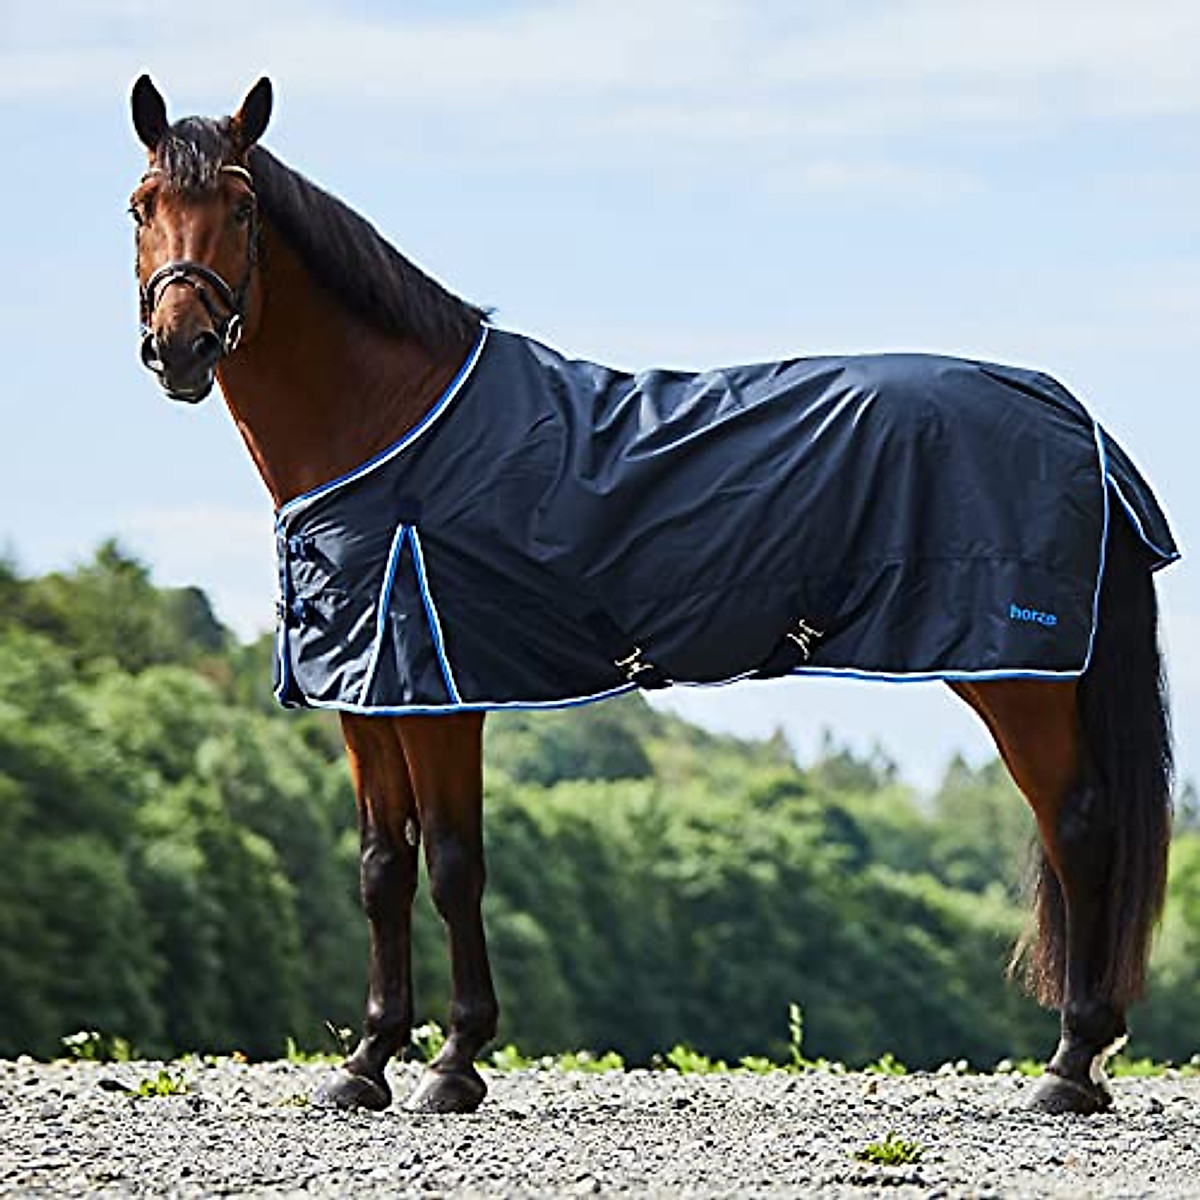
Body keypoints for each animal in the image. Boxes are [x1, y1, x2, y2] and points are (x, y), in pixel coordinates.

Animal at [128, 75, 1178, 1117]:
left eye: (242, 208)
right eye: (142, 206)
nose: (180, 348)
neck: (391, 423)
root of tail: (1072, 415)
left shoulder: (442, 695)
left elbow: (456, 866)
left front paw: (454, 1062)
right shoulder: (369, 694)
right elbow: (383, 869)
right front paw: (366, 1061)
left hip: (1018, 675)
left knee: (1079, 826)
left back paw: (1071, 1064)